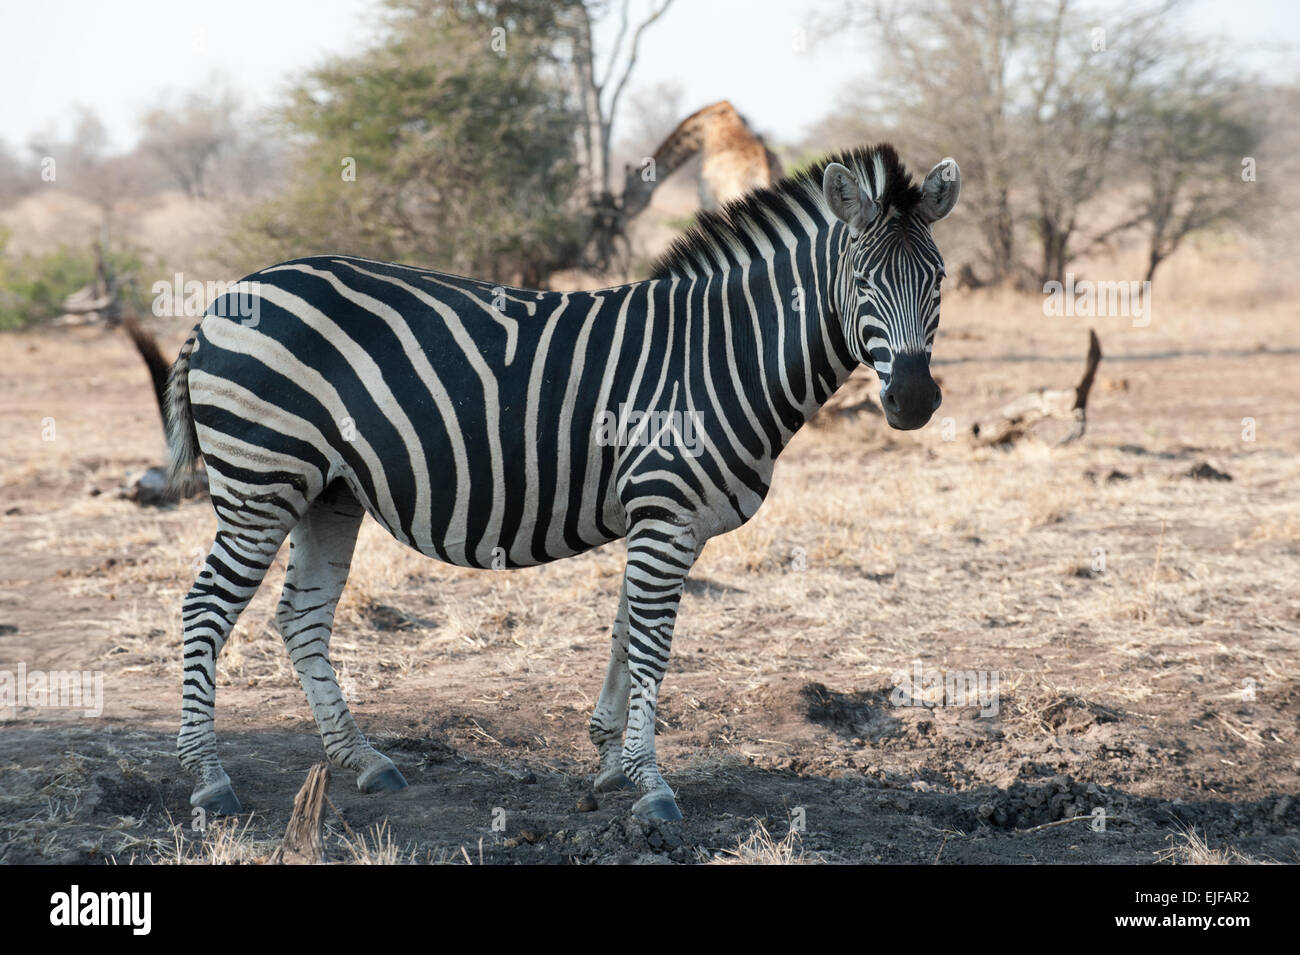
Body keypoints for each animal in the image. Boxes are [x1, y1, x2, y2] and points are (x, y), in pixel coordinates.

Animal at [166, 144, 960, 822]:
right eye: (862, 282)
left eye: (939, 282)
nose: (915, 400)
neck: (724, 353)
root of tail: (223, 299)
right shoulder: (665, 512)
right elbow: (651, 643)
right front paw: (651, 783)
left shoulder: (663, 519)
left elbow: (624, 630)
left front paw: (610, 763)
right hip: (261, 483)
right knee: (206, 607)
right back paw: (208, 777)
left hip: (327, 493)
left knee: (301, 617)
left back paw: (362, 759)